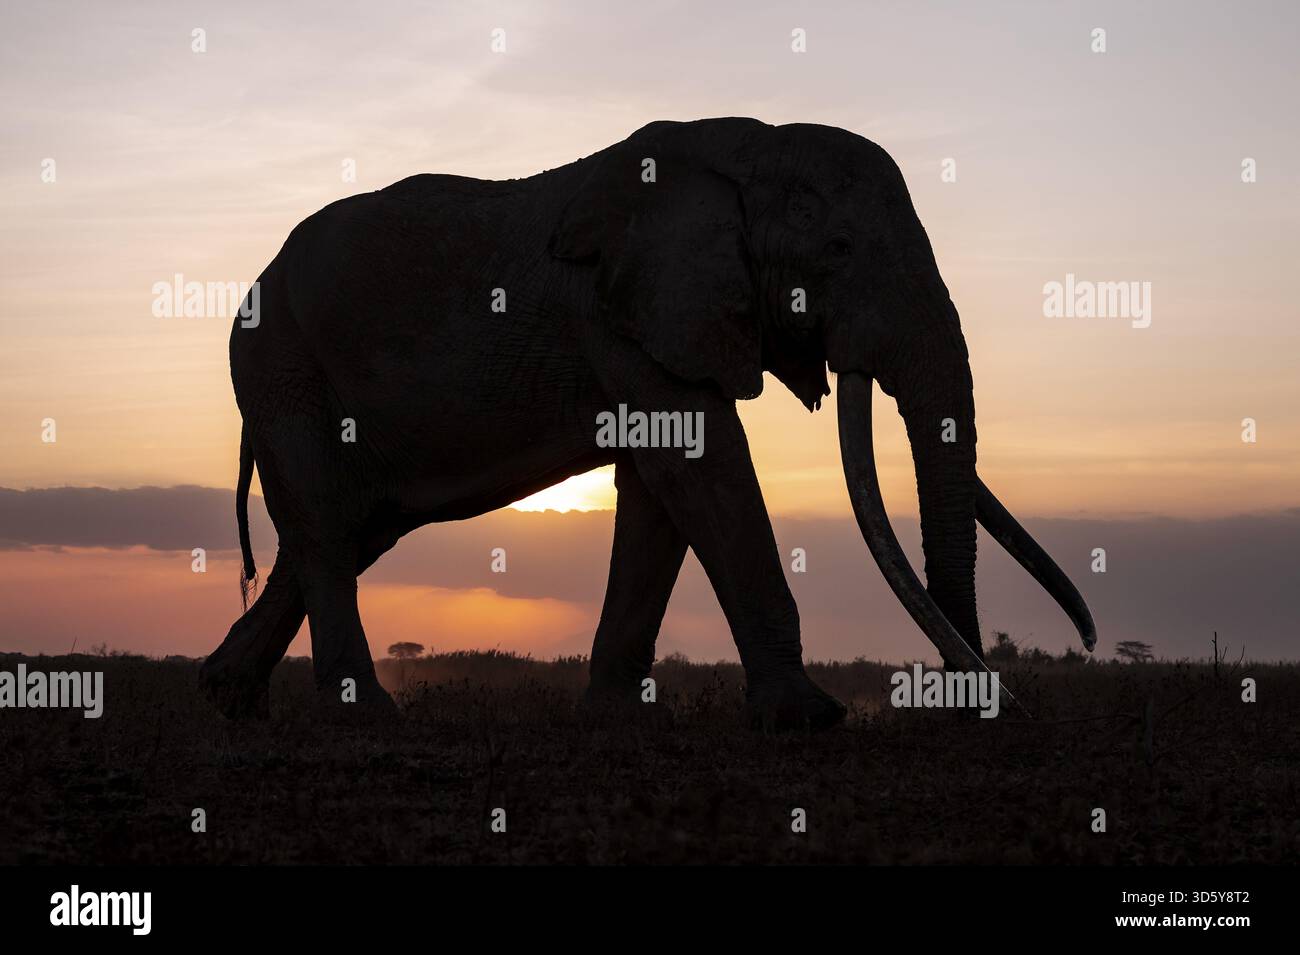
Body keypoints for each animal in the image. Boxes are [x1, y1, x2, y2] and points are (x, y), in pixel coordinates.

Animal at [198, 118, 1096, 728]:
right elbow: (705, 466)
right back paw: (360, 716)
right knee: (327, 523)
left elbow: (661, 486)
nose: (978, 705)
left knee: (352, 527)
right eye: (837, 250)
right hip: (281, 367)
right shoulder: (617, 314)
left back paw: (226, 696)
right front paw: (807, 718)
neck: (749, 149)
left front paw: (616, 715)